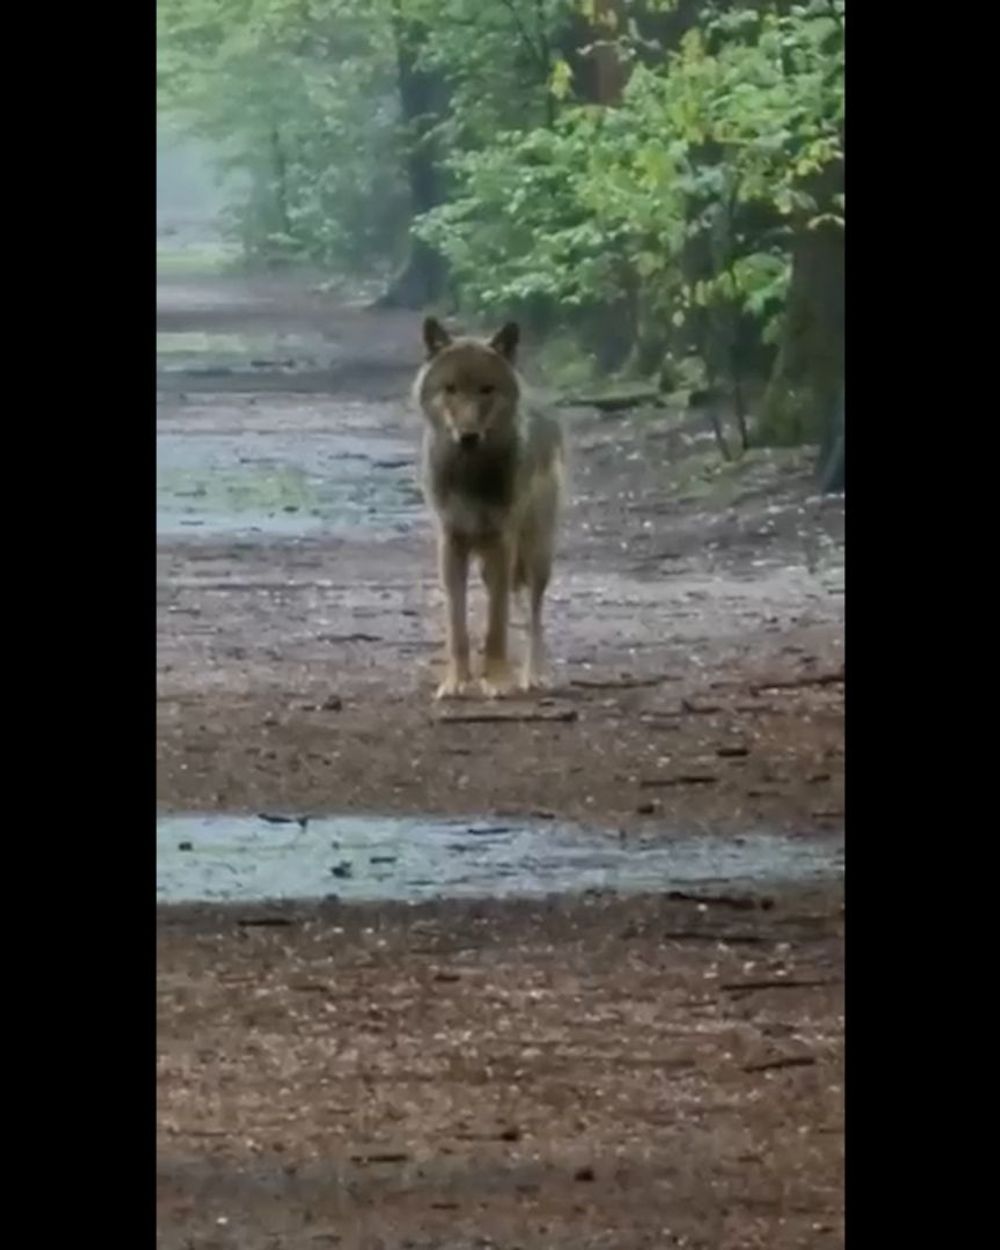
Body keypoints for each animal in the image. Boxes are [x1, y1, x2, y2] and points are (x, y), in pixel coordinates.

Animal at [412, 316, 564, 700]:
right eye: (450, 389)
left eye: (486, 390)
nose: (468, 436)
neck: (469, 475)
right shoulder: (451, 544)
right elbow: (458, 627)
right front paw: (455, 682)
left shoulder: (501, 542)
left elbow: (496, 625)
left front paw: (496, 680)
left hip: (536, 554)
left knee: (534, 615)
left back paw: (533, 675)